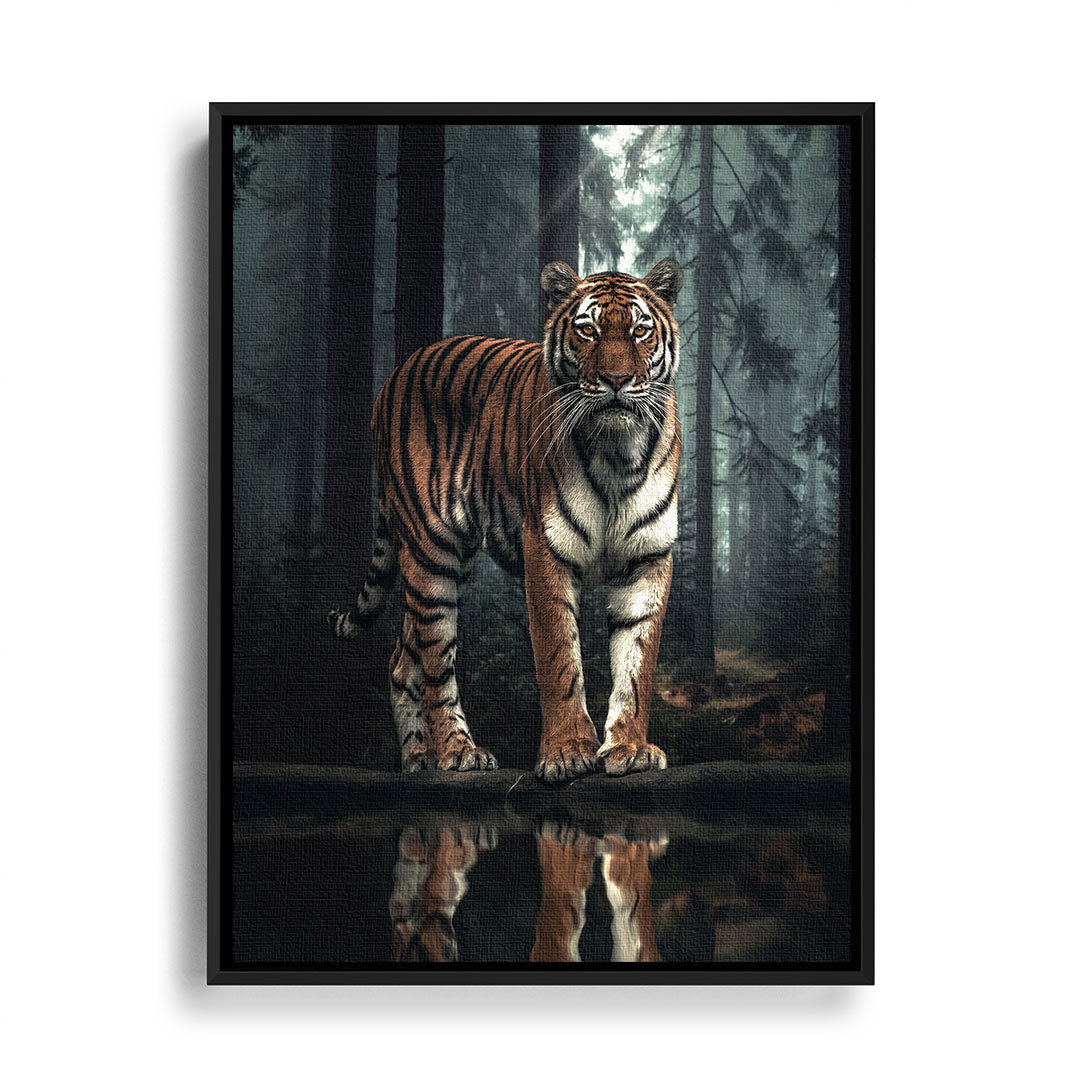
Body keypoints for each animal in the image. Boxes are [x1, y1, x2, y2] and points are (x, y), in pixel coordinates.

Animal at [330, 258, 683, 783]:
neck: (617, 452)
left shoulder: (649, 557)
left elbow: (638, 664)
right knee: (434, 664)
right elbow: (559, 660)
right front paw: (566, 753)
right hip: (431, 555)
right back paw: (457, 753)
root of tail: (395, 375)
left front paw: (630, 749)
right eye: (588, 330)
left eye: (640, 331)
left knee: (401, 662)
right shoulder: (546, 549)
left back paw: (417, 761)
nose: (617, 380)